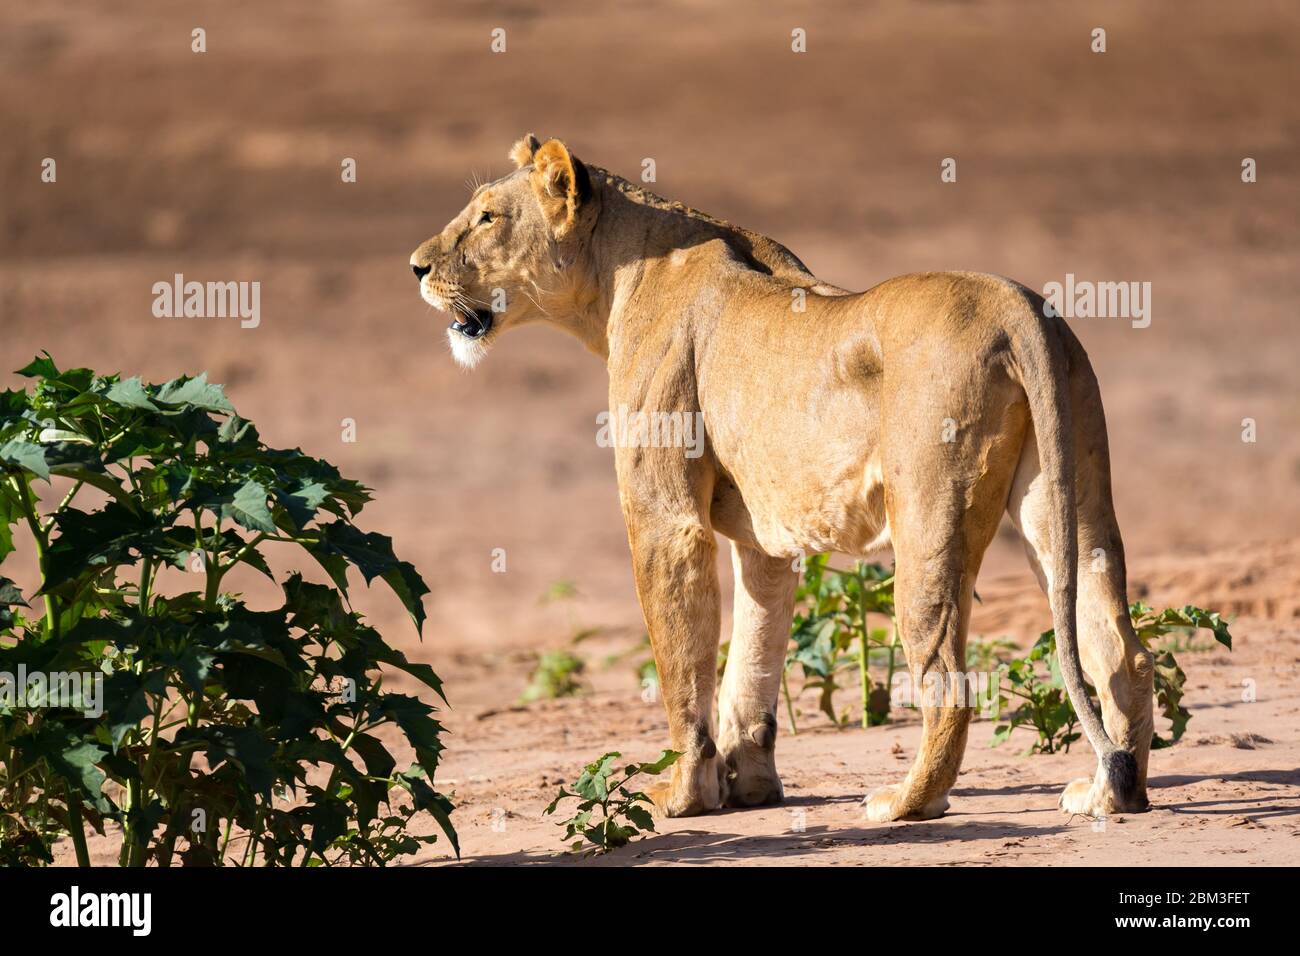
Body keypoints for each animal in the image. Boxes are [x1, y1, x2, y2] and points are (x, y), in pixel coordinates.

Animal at [410, 134, 1154, 822]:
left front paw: (682, 795)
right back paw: (1109, 792)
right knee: (1120, 645)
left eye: (487, 217)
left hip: (928, 519)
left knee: (947, 675)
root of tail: (1015, 305)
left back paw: (907, 802)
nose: (415, 266)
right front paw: (751, 787)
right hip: (1069, 494)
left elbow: (683, 663)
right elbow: (753, 661)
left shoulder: (664, 520)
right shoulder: (763, 541)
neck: (615, 274)